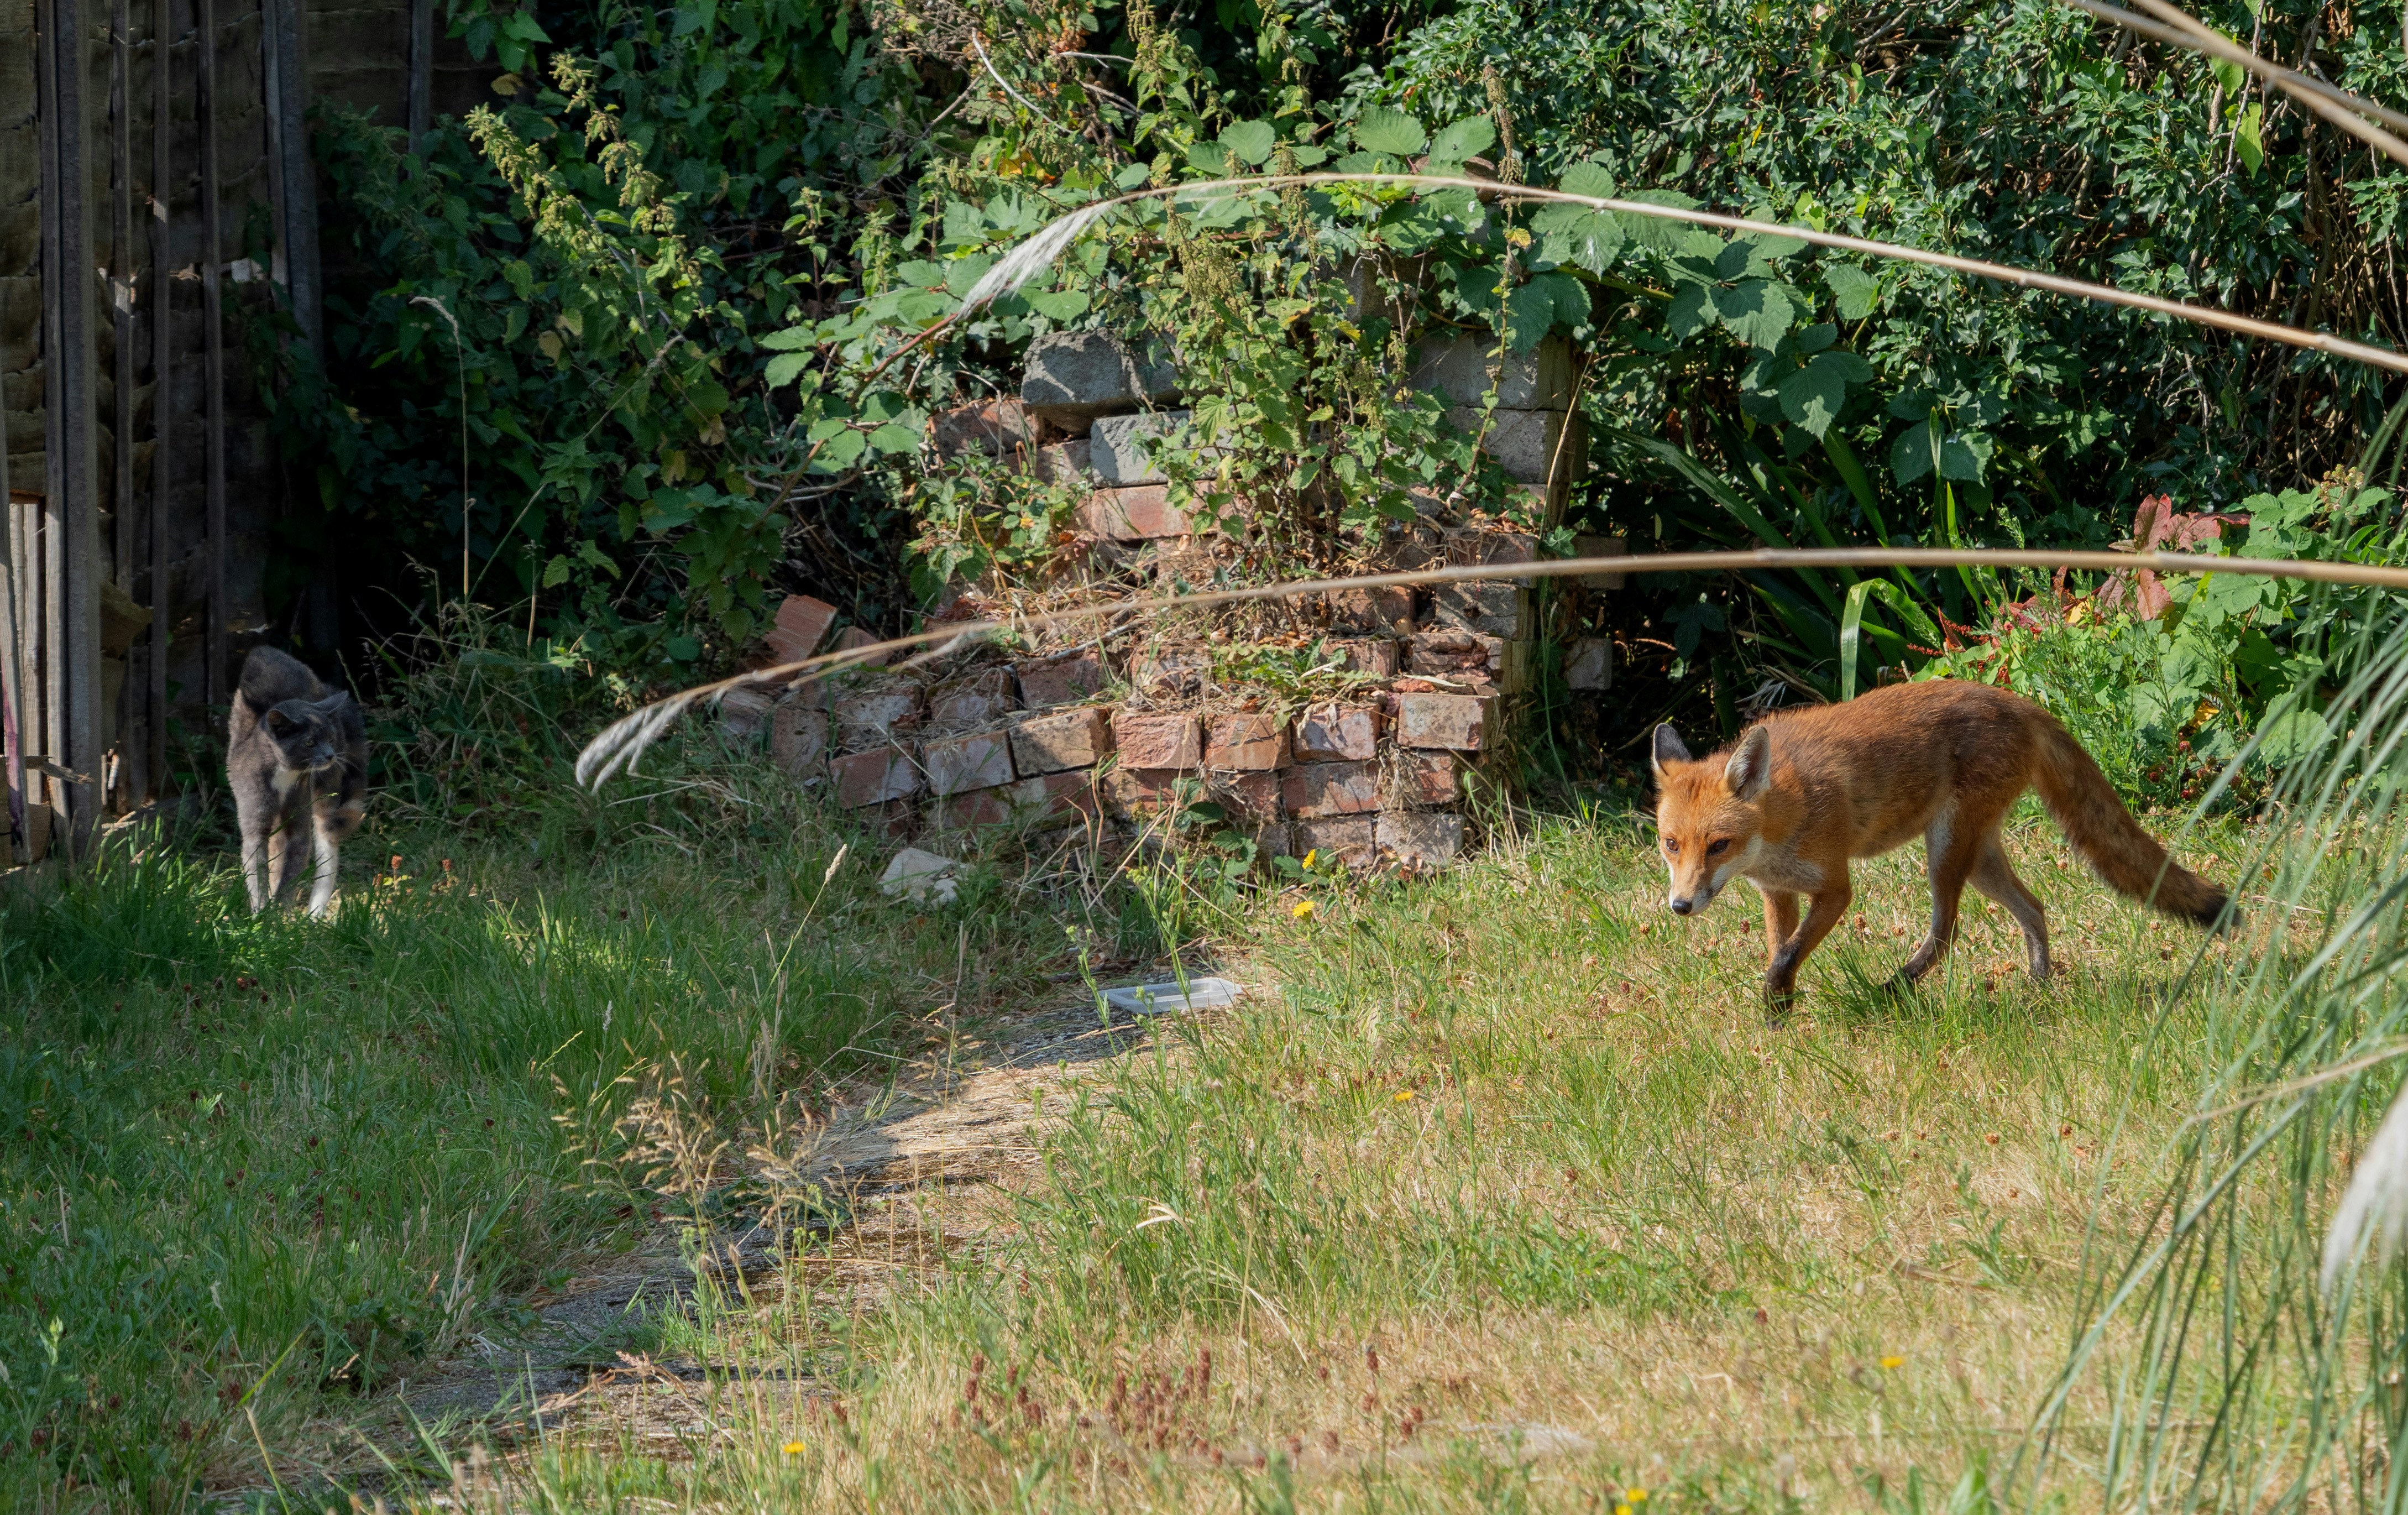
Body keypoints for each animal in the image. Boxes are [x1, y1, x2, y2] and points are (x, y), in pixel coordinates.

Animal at [1649, 679, 2234, 1012]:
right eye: (1671, 844)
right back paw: (2037, 987)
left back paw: (1894, 989)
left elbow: (1790, 951)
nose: (1680, 906)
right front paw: (1780, 1013)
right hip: (1980, 860)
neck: (1784, 819)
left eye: (1719, 845)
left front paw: (1776, 1002)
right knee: (2035, 908)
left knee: (1948, 930)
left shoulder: (1836, 889)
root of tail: (2018, 702)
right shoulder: (1779, 892)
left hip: (1947, 851)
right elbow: (1780, 951)